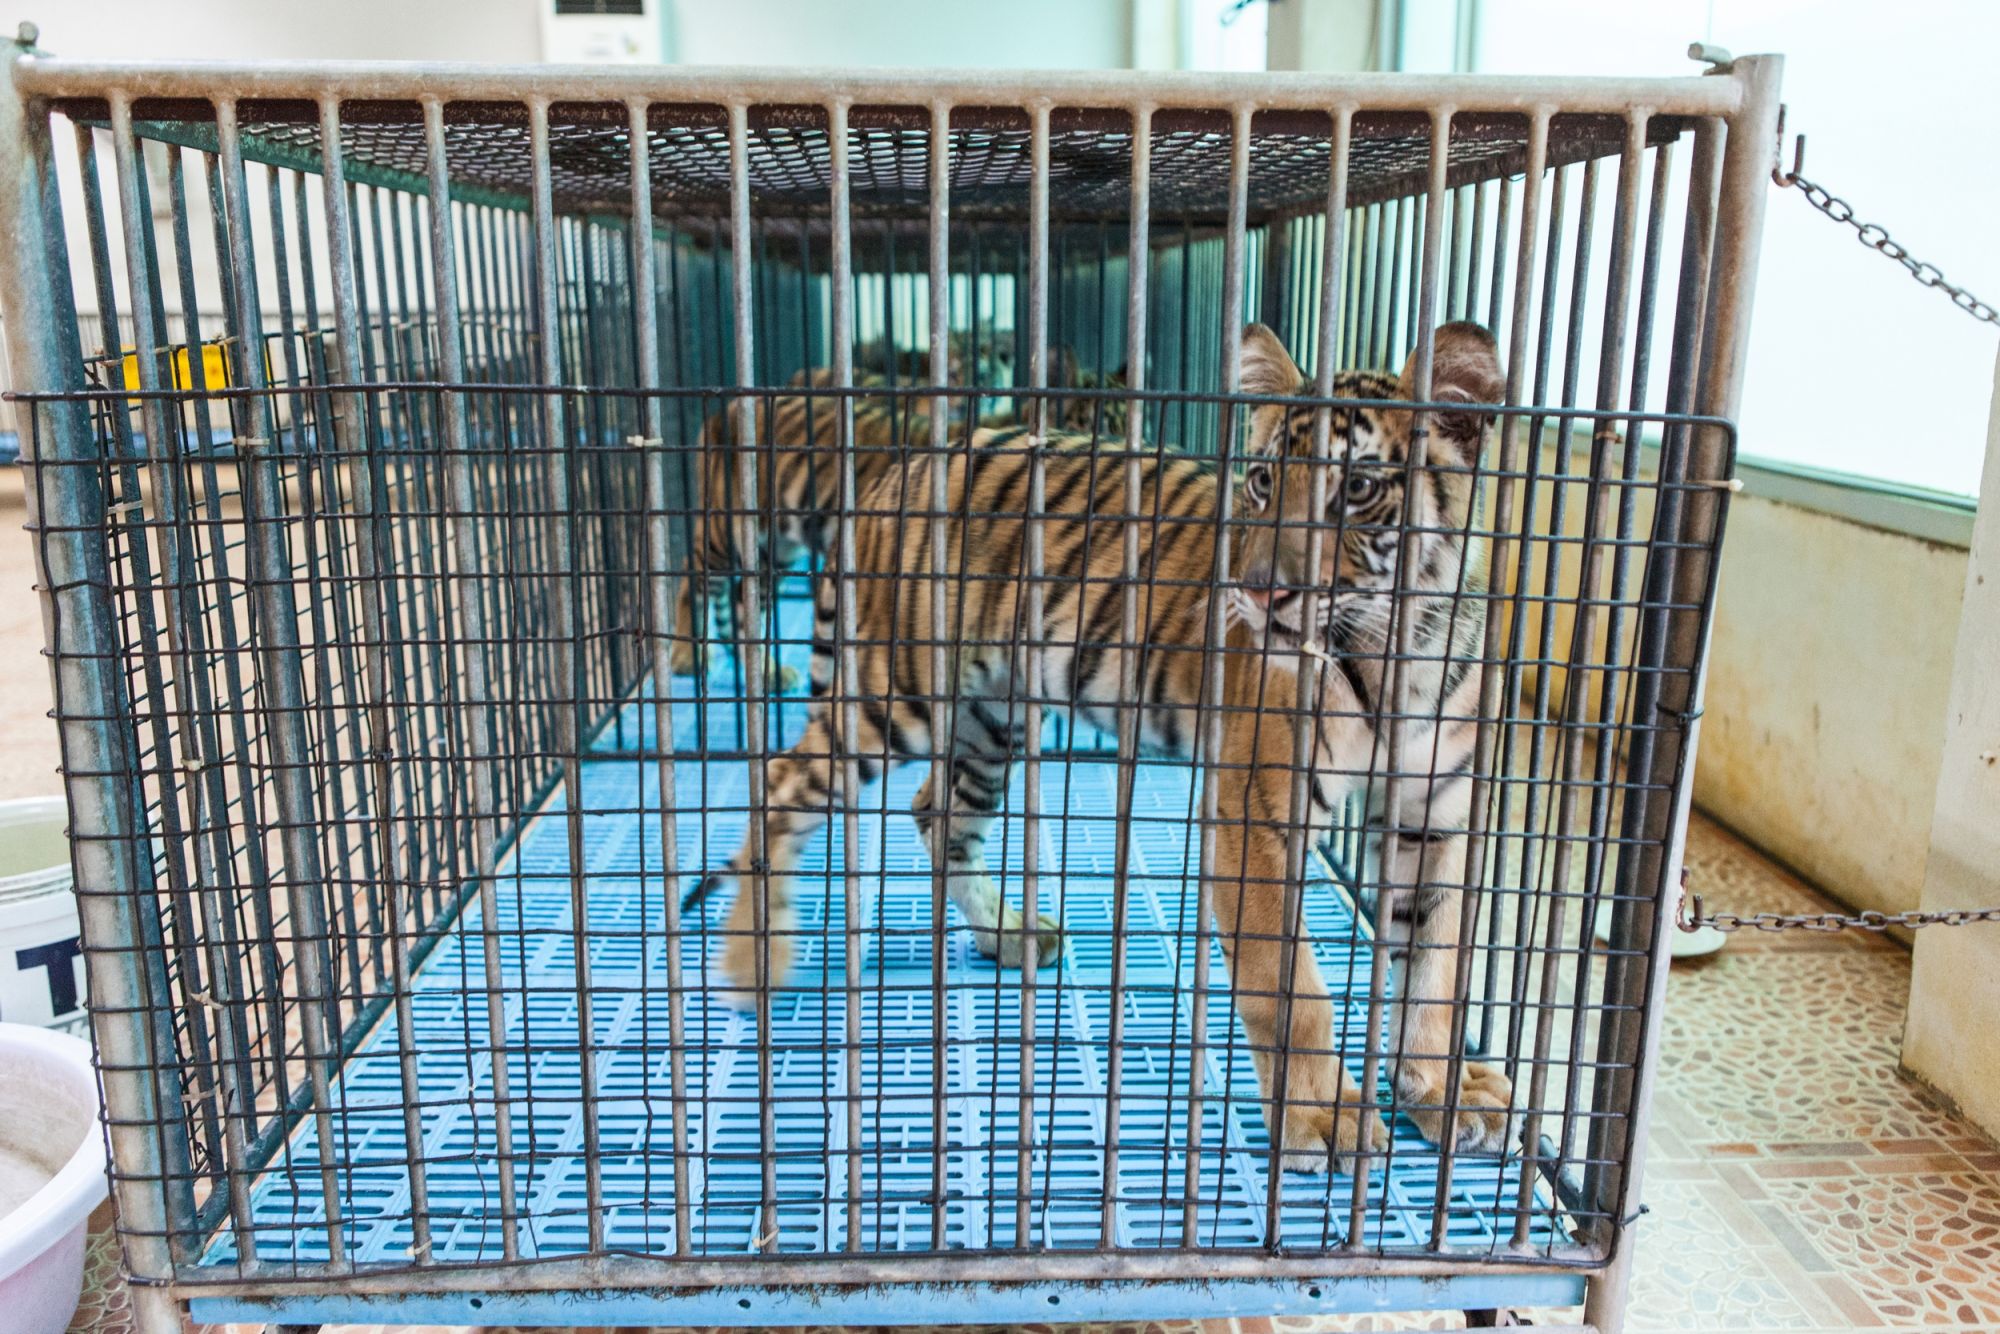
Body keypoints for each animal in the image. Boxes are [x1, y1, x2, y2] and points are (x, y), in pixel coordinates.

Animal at [701, 320, 1514, 1168]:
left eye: (1355, 489)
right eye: (1262, 482)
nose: (1258, 589)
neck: (1400, 653)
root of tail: (902, 466)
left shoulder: (1437, 817)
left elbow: (1437, 968)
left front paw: (1444, 1091)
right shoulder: (1255, 813)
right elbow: (1289, 983)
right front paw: (1322, 1118)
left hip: (992, 717)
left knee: (937, 812)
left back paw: (1009, 933)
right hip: (894, 697)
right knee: (782, 781)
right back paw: (752, 962)